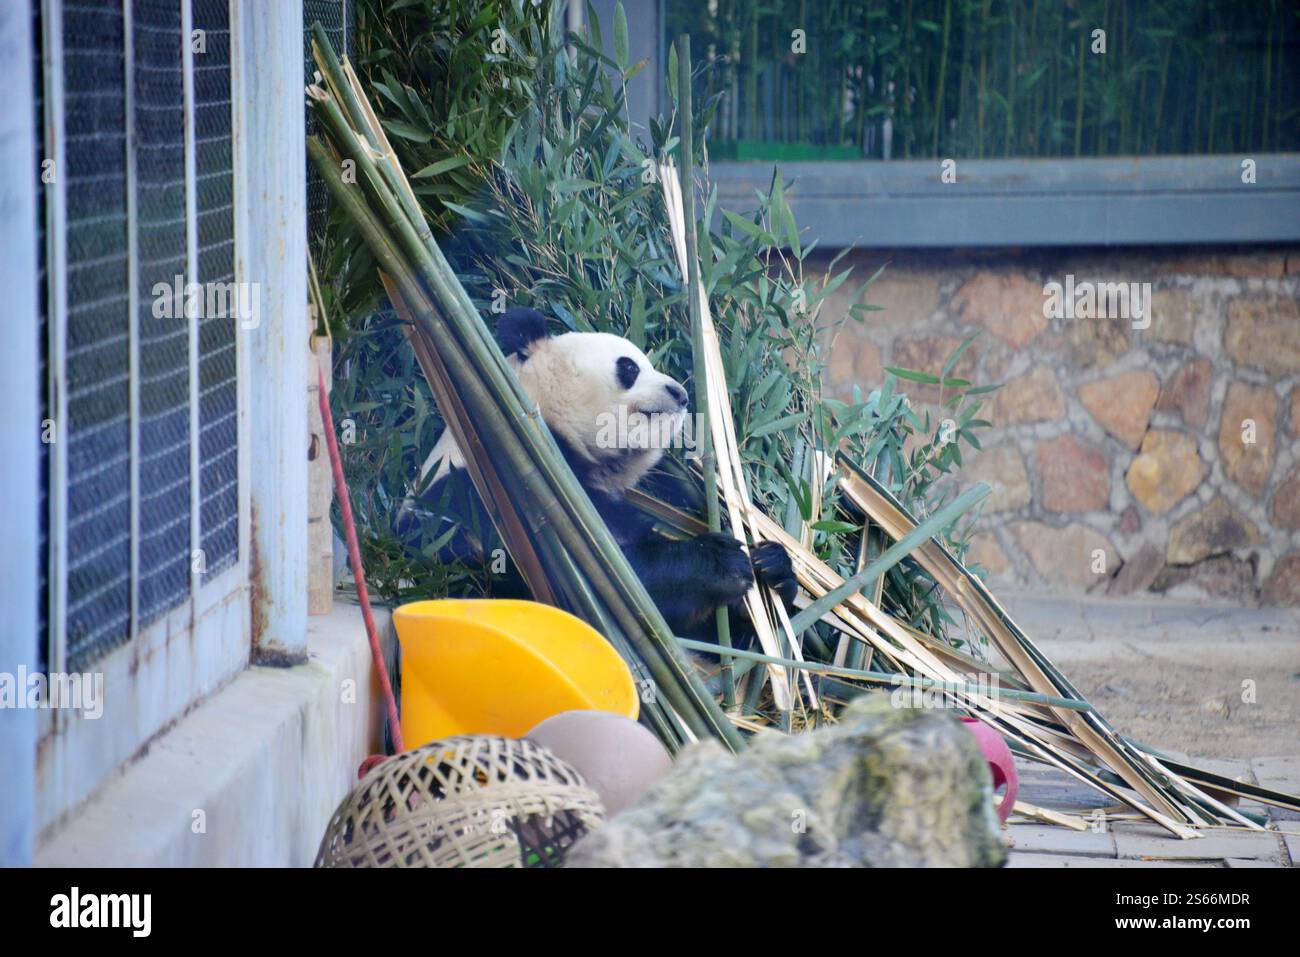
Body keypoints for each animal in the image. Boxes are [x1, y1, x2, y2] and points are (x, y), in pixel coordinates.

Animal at [406, 306, 797, 639]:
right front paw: (721, 562)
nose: (680, 393)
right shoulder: (496, 486)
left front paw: (773, 566)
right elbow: (611, 586)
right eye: (629, 367)